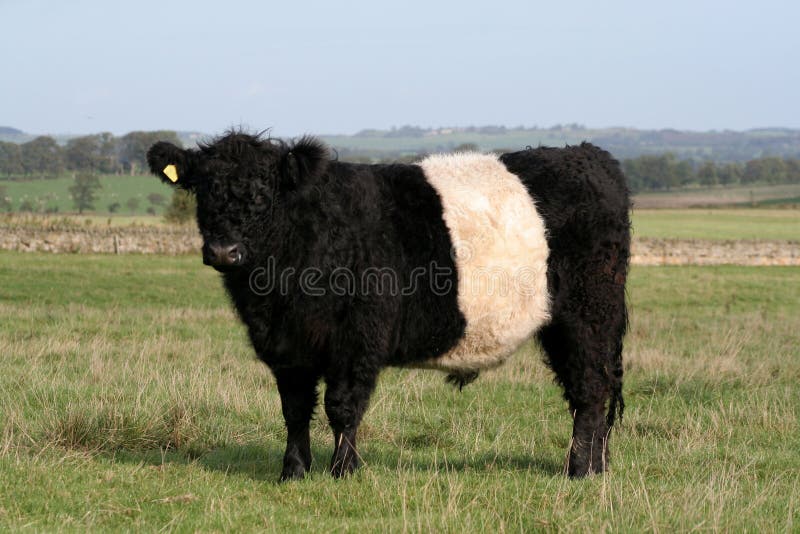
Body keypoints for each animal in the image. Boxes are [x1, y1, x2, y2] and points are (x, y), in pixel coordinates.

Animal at [147, 132, 630, 481]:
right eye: (202, 190)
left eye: (264, 193)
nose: (223, 251)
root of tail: (587, 154)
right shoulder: (287, 346)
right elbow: (295, 409)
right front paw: (294, 471)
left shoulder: (358, 337)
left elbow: (342, 406)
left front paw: (344, 471)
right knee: (591, 389)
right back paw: (598, 465)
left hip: (587, 315)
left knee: (589, 389)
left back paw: (579, 470)